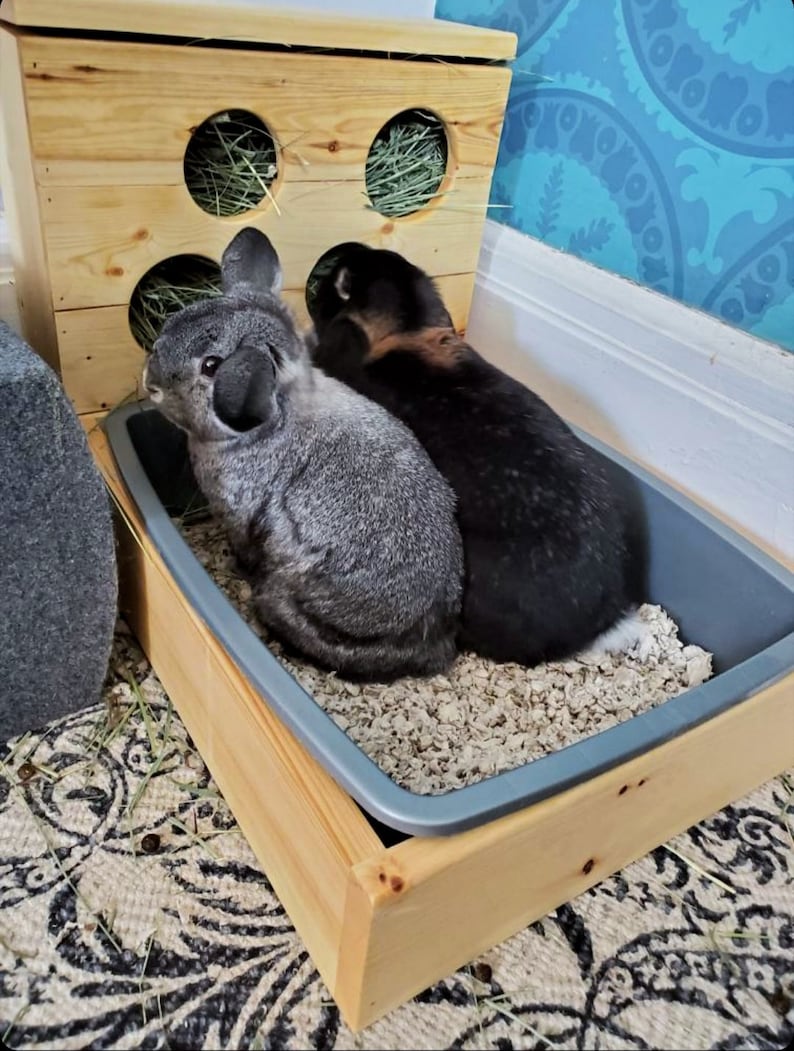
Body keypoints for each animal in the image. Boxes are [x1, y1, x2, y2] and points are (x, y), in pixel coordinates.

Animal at [142, 228, 463, 682]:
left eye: (211, 366)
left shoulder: (239, 517)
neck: (270, 416)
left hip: (286, 597)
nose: (149, 381)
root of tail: (432, 643)